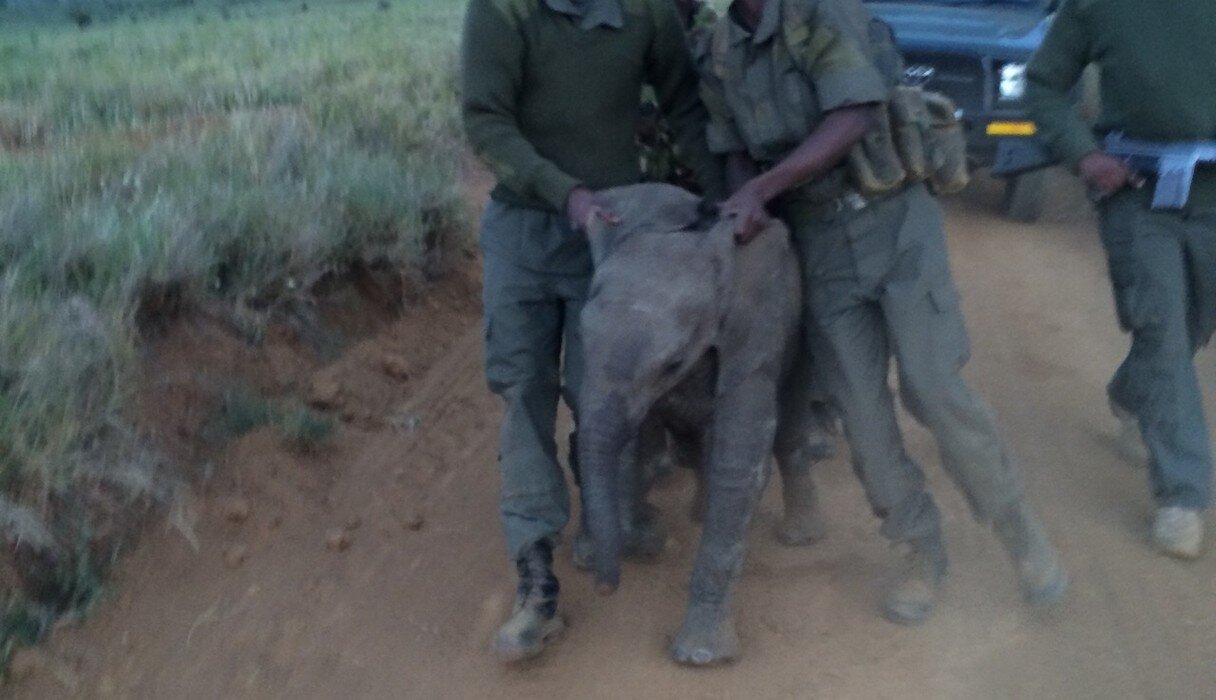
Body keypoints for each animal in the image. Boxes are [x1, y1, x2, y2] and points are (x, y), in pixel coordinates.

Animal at [577, 183, 833, 665]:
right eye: (580, 335)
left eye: (673, 362)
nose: (602, 589)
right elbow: (633, 449)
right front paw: (645, 538)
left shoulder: (754, 339)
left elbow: (740, 463)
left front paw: (702, 657)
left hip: (800, 338)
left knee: (786, 429)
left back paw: (799, 537)